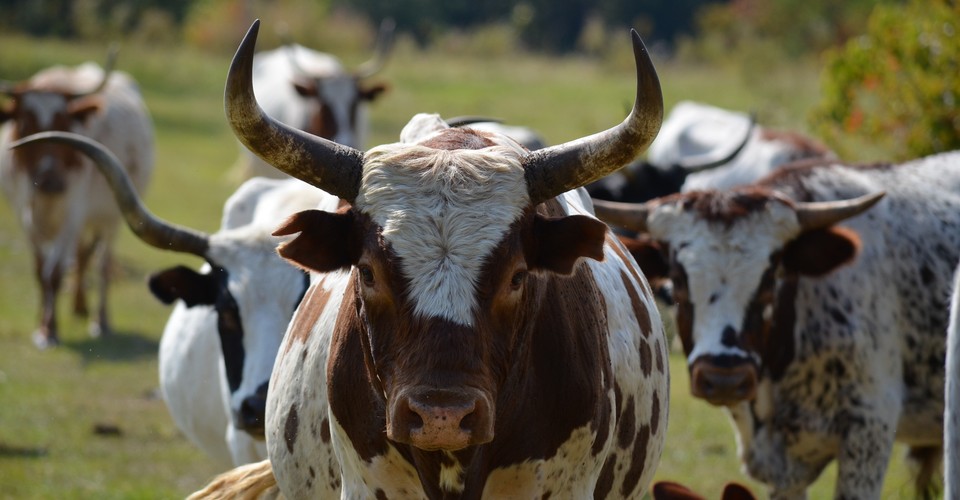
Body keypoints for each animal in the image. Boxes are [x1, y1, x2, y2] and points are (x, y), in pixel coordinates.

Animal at [0, 48, 154, 348]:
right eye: (25, 124)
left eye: (65, 124)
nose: (51, 182)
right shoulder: (23, 213)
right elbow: (40, 270)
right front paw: (40, 323)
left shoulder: (72, 214)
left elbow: (54, 272)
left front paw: (50, 330)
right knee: (82, 256)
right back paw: (78, 306)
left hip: (112, 217)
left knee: (102, 264)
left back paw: (100, 321)